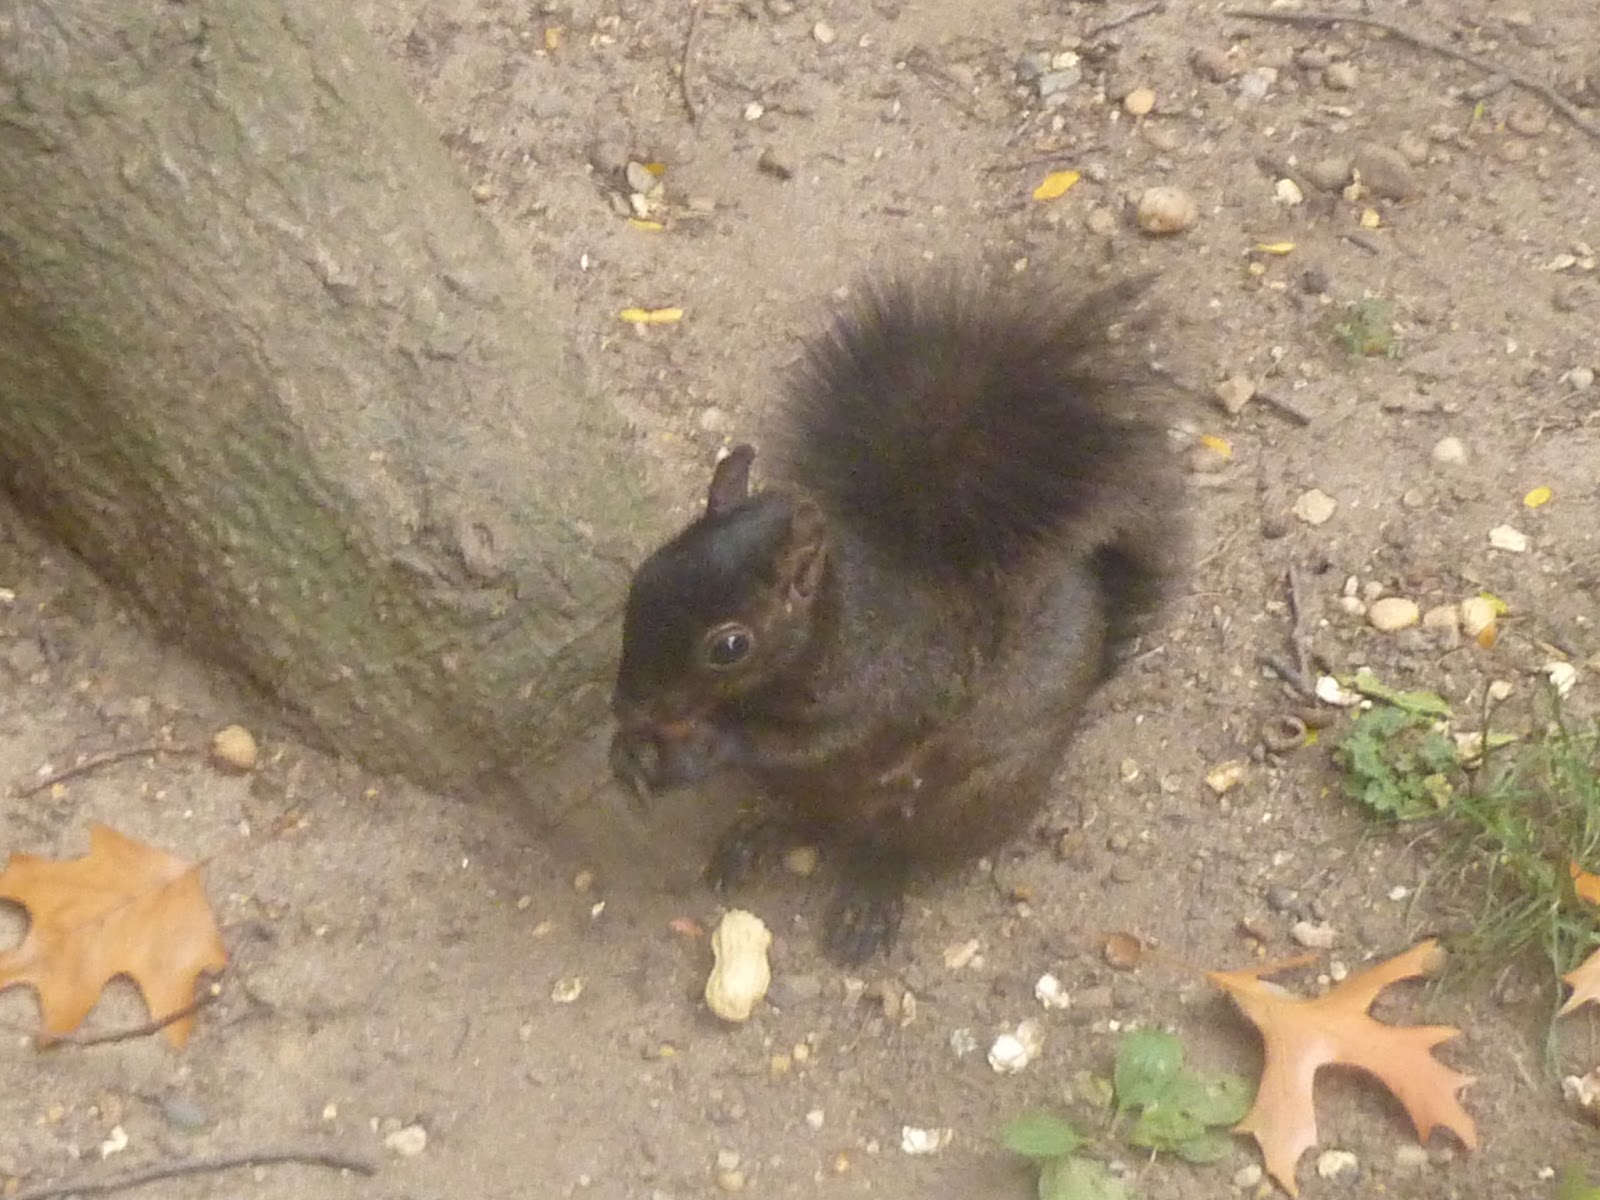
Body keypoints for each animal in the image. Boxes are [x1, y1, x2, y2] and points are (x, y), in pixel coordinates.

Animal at [609, 276, 1186, 964]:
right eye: (645, 577)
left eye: (729, 646)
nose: (628, 706)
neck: (838, 618)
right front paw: (625, 754)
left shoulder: (890, 688)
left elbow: (817, 744)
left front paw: (707, 745)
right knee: (813, 816)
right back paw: (760, 833)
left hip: (968, 799)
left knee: (891, 846)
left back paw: (869, 897)